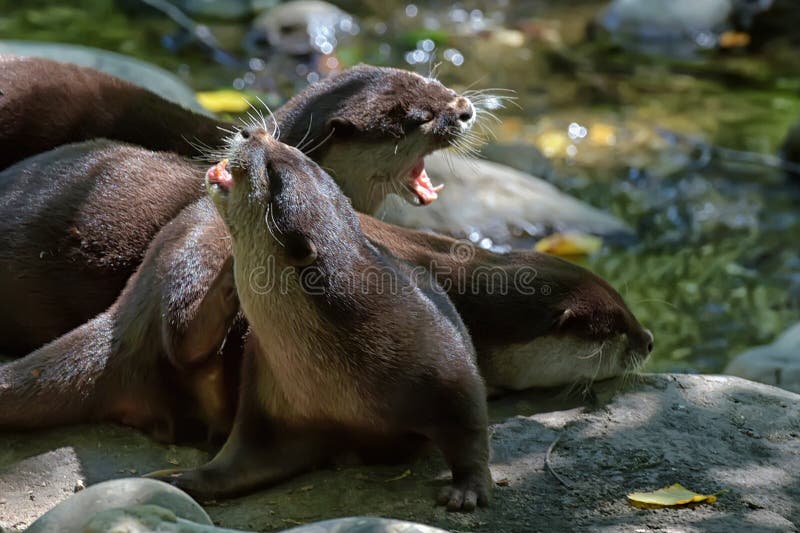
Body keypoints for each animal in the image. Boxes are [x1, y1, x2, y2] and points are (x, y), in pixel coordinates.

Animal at [148, 128, 491, 511]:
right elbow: (239, 459)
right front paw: (179, 479)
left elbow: (469, 420)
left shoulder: (438, 358)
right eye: (288, 149)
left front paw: (468, 487)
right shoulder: (263, 399)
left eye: (273, 171)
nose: (252, 132)